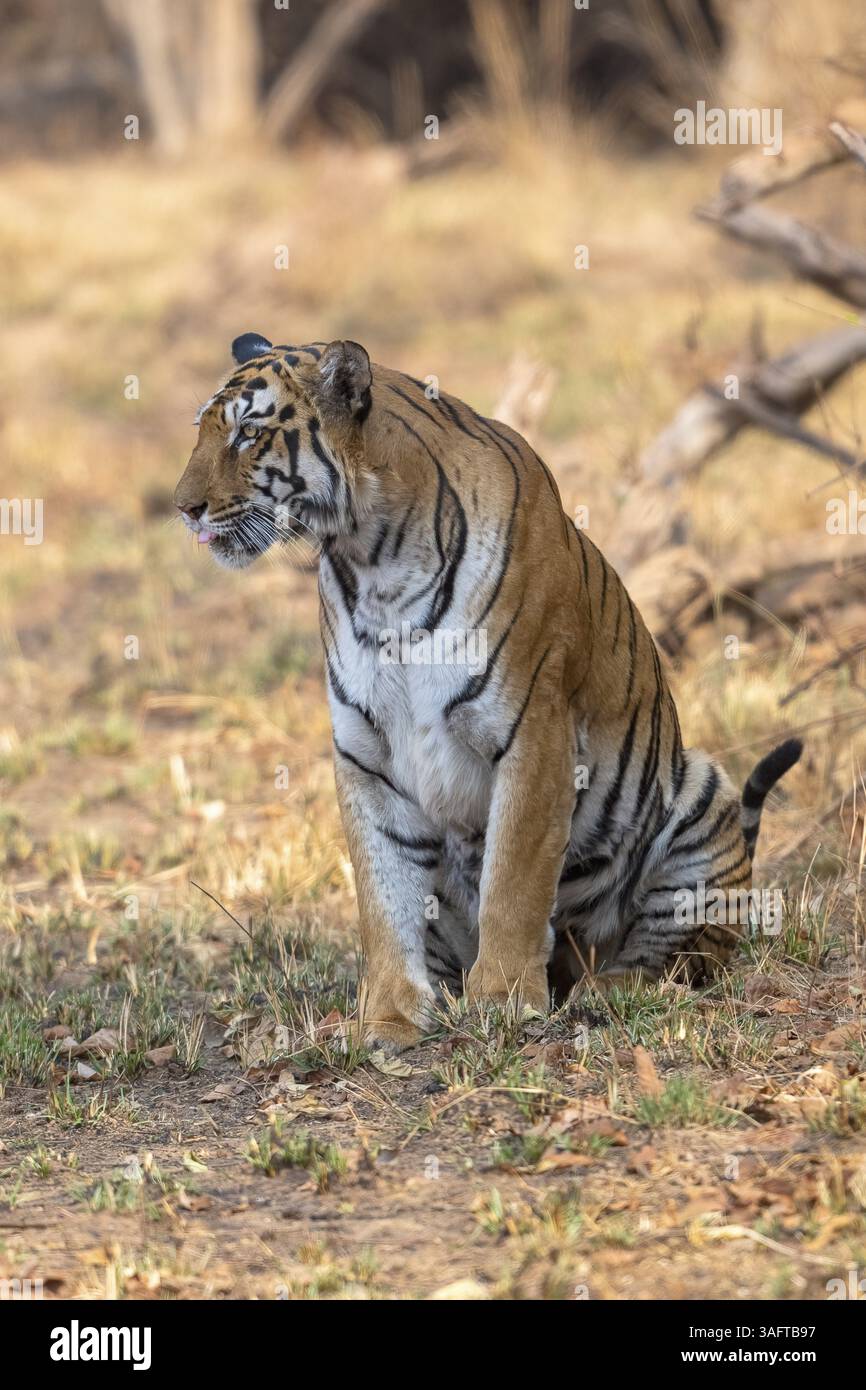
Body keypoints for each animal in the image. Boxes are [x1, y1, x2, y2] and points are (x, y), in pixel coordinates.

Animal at [173, 333, 803, 1049]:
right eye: (201, 430)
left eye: (249, 434)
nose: (183, 507)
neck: (372, 561)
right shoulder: (365, 754)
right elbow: (382, 897)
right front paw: (388, 1019)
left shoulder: (534, 730)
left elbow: (515, 879)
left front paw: (503, 1002)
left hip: (699, 792)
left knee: (682, 952)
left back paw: (606, 990)